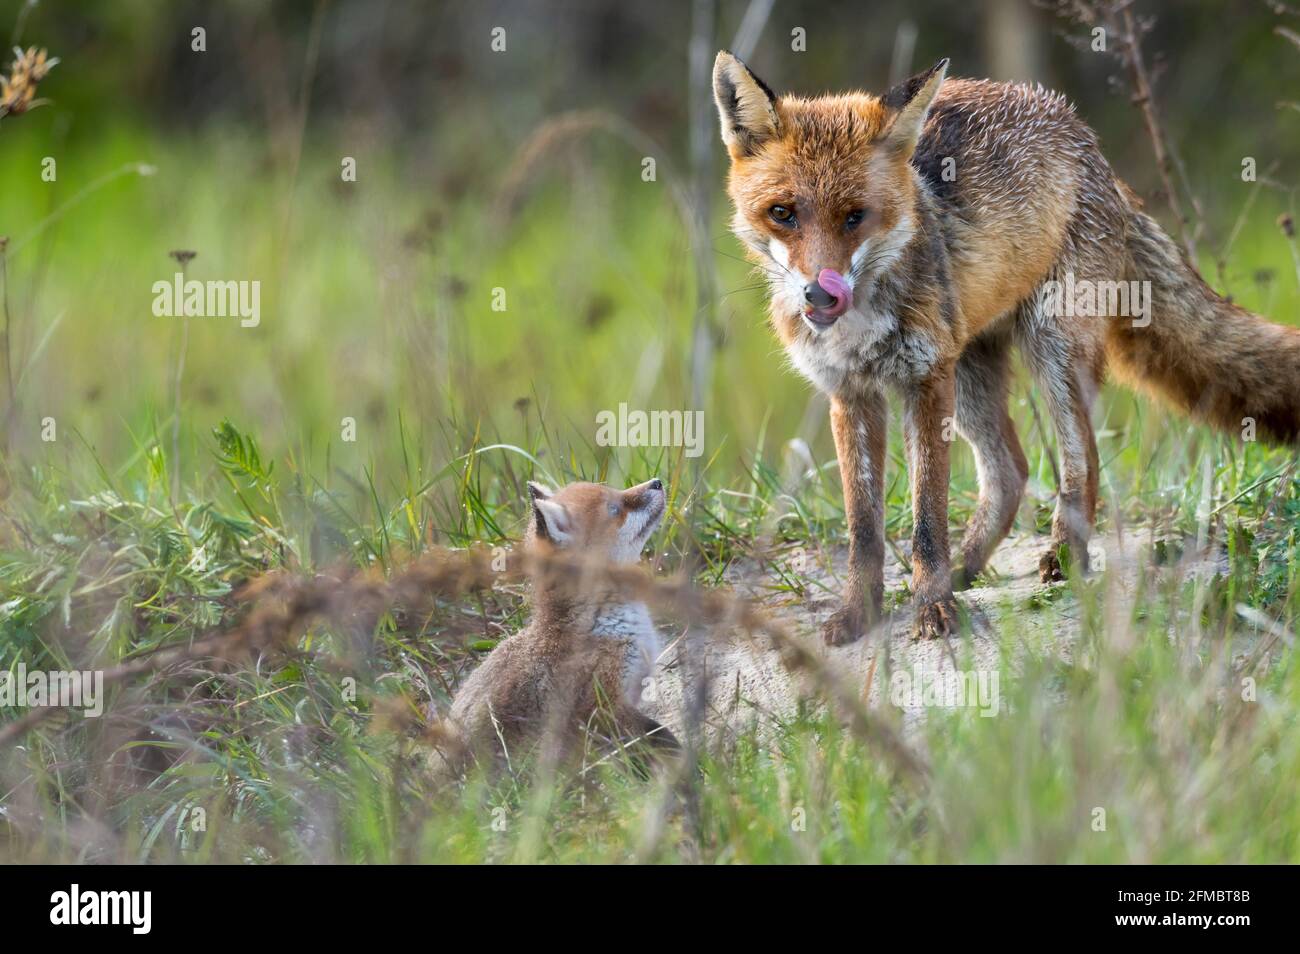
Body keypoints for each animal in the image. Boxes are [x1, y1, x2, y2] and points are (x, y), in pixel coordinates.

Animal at [712, 52, 1300, 645]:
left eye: (857, 216)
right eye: (783, 213)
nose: (820, 293)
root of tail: (1082, 134)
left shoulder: (926, 381)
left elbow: (927, 519)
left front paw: (933, 606)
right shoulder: (850, 394)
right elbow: (863, 529)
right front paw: (860, 610)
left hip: (1049, 349)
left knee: (1081, 460)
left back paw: (1064, 555)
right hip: (972, 375)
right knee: (1010, 473)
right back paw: (967, 567)